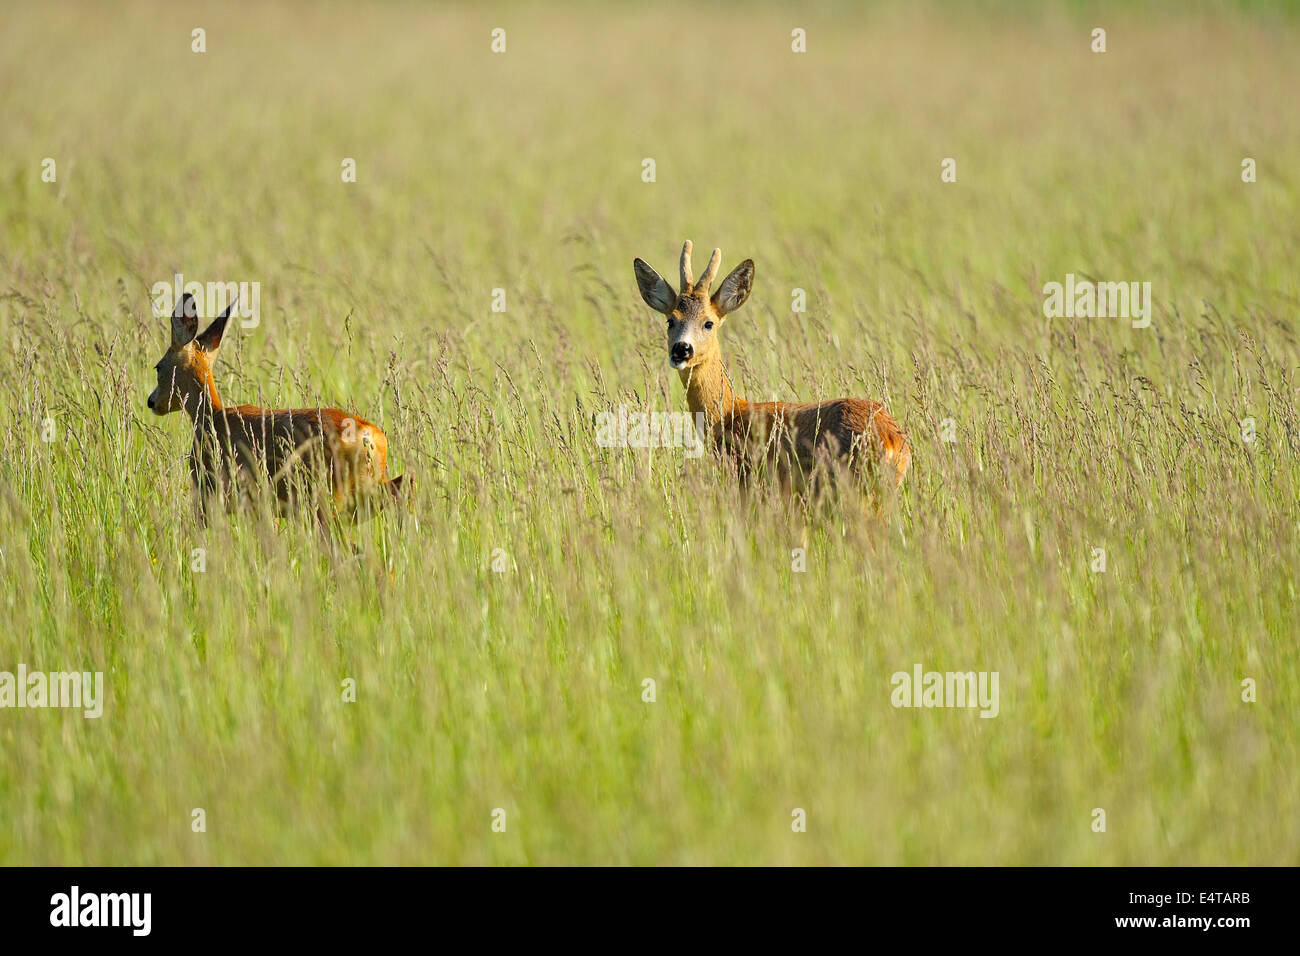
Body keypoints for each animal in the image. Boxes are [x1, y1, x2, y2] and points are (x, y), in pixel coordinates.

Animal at [148, 292, 405, 519]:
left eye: (158, 367)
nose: (151, 401)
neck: (210, 416)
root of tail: (371, 436)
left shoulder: (210, 491)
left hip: (323, 496)